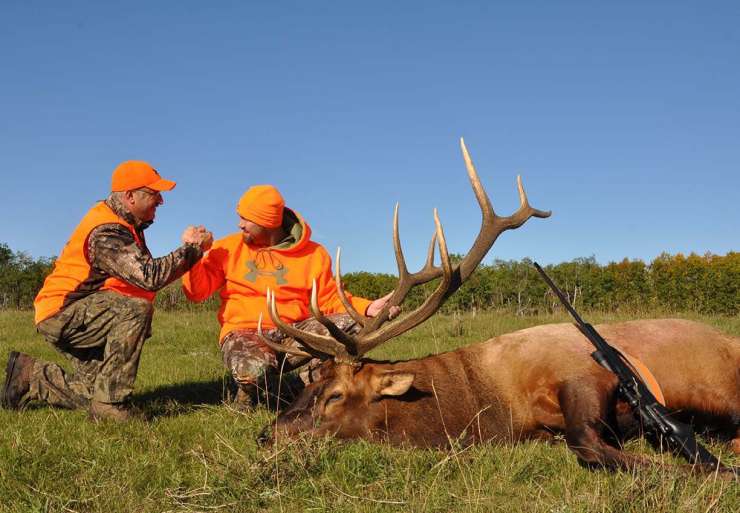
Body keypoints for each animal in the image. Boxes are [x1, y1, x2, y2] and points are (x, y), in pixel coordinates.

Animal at [256, 139, 740, 474]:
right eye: (307, 386)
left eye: (334, 395)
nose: (266, 435)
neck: (497, 405)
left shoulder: (580, 373)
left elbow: (587, 443)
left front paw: (711, 473)